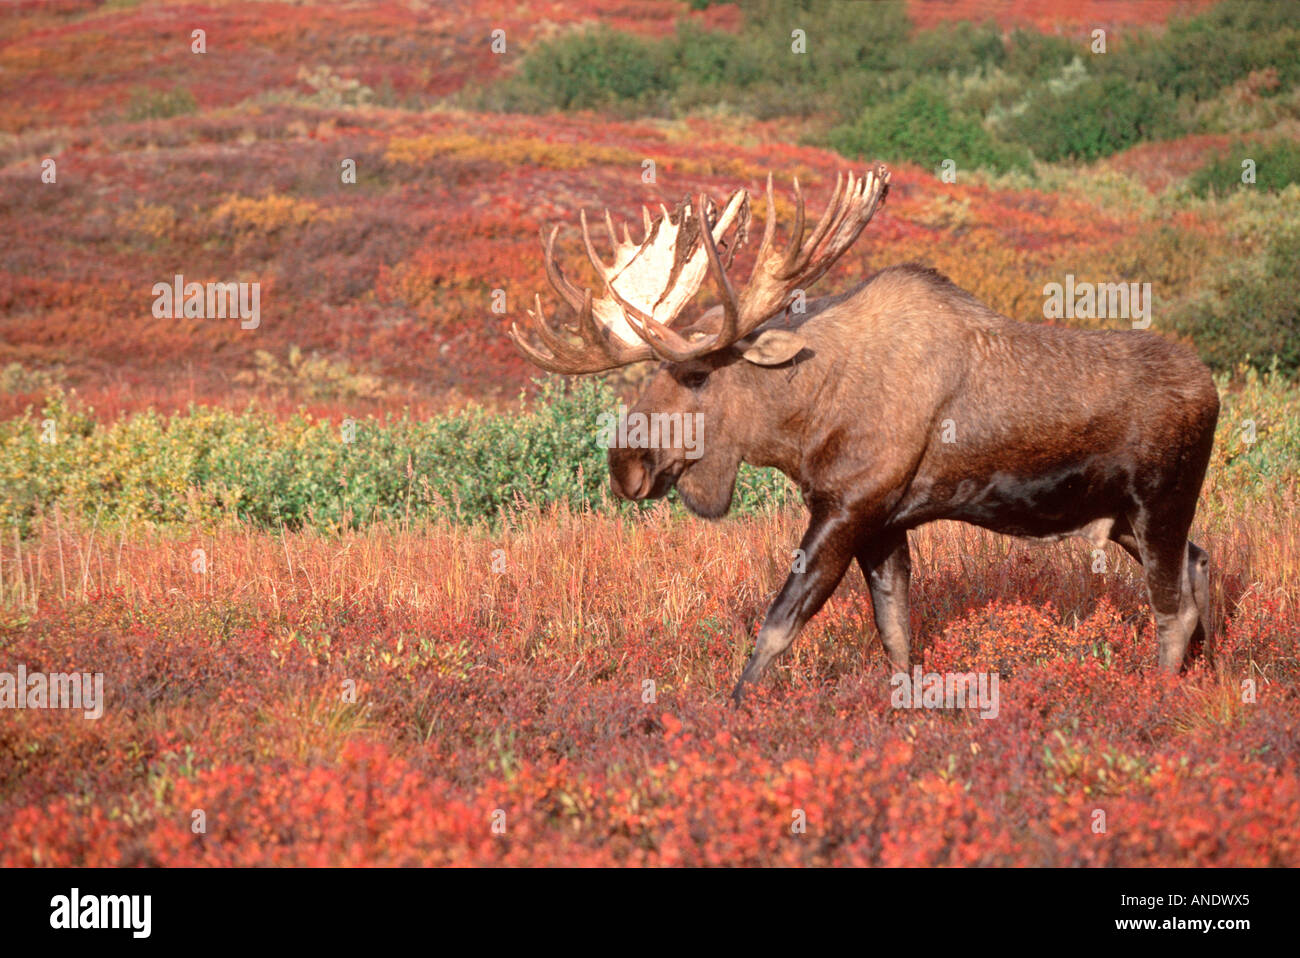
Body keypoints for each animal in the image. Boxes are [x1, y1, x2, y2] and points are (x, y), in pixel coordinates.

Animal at [509, 165, 1220, 703]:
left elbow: (779, 624)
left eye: (695, 375)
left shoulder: (849, 507)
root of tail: (1214, 390)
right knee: (1200, 564)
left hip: (1158, 502)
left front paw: (733, 709)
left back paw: (1161, 694)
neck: (803, 418)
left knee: (1171, 608)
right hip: (1125, 518)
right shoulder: (884, 523)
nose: (625, 464)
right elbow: (896, 636)